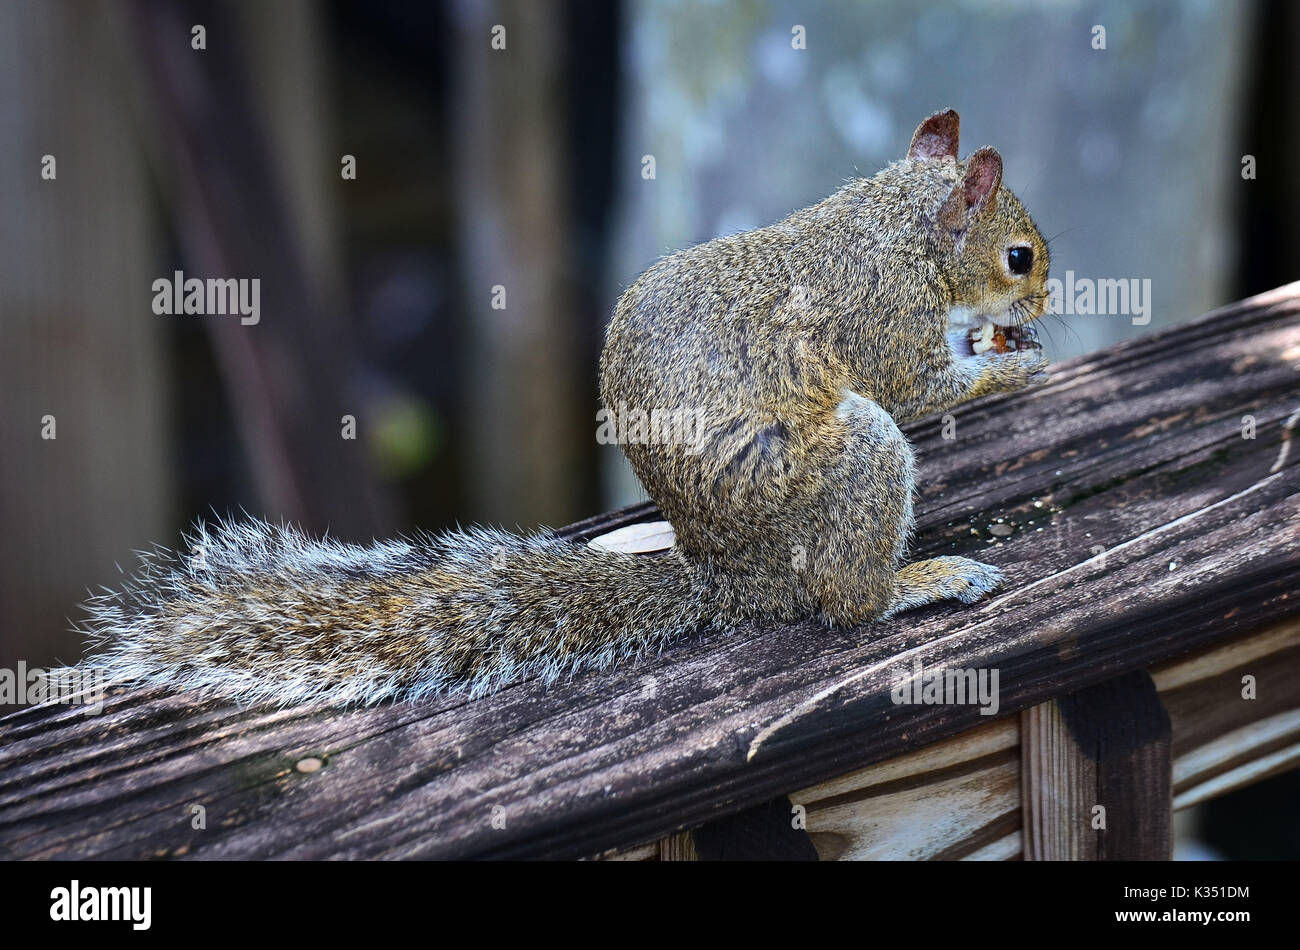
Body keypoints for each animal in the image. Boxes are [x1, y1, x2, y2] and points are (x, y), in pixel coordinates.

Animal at [78, 109, 1050, 707]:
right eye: (1019, 257)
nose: (1041, 304)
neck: (897, 229)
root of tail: (732, 575)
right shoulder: (884, 317)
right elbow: (919, 388)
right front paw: (1014, 369)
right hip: (851, 463)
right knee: (847, 601)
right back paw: (919, 581)